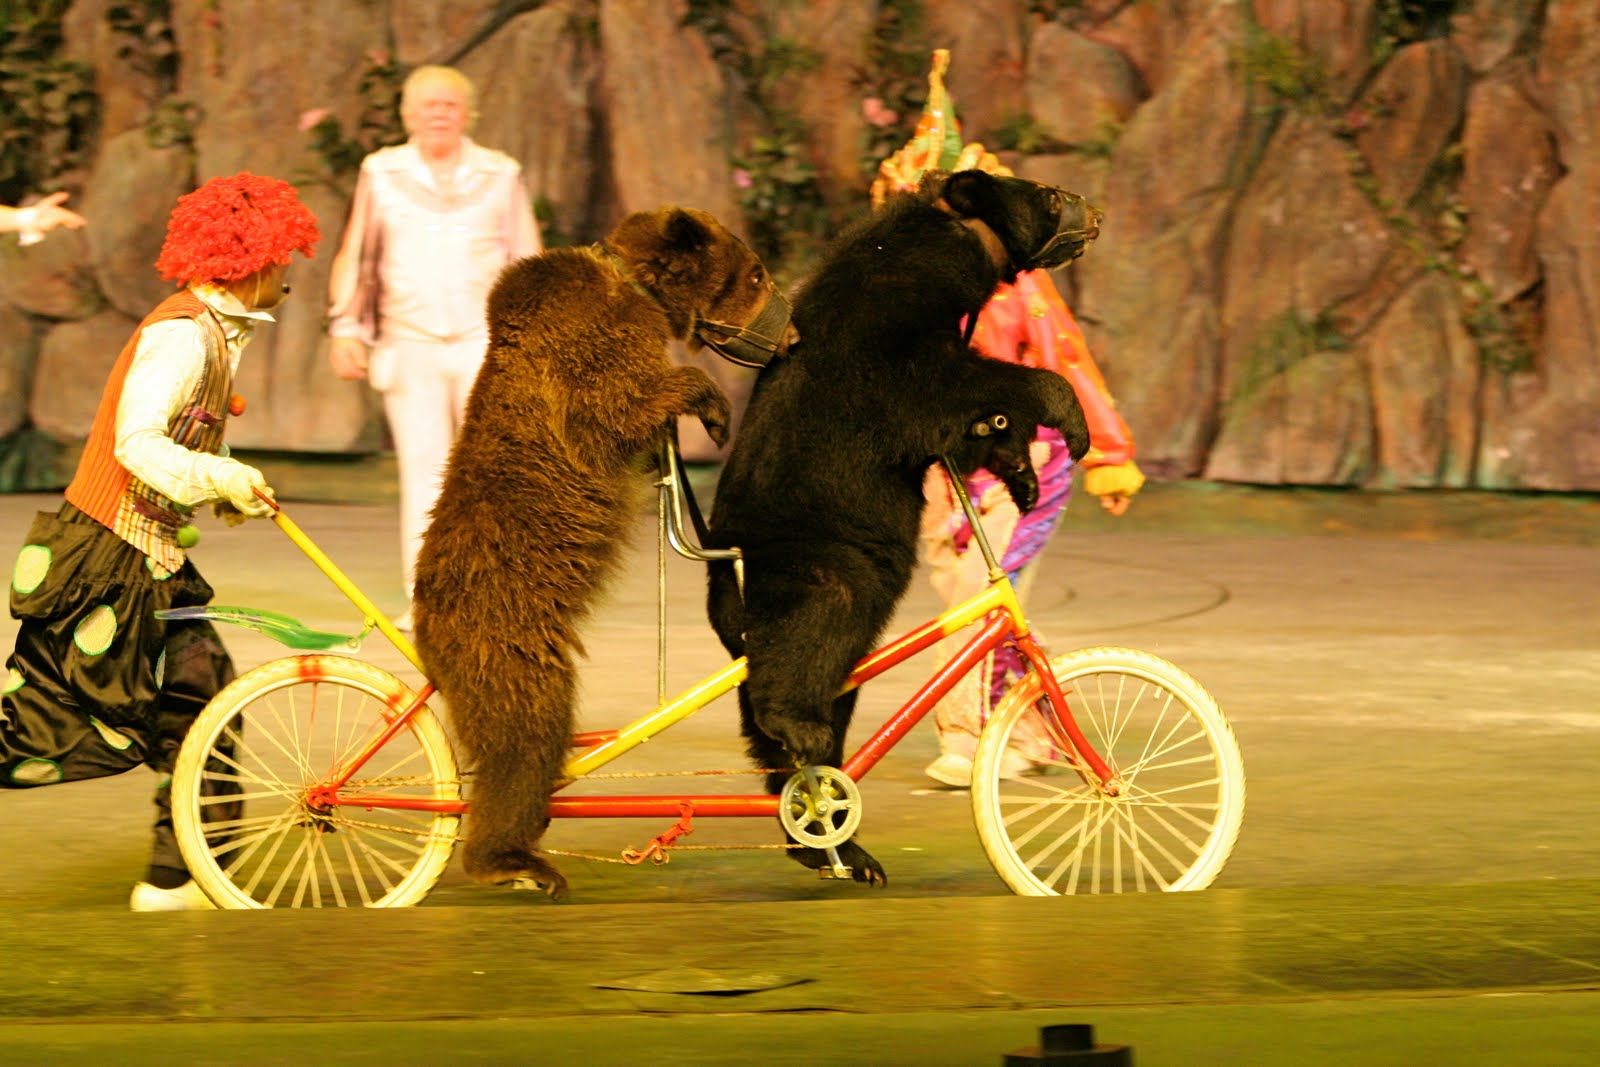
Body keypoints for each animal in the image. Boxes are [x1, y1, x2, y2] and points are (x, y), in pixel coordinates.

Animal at [413, 206, 792, 899]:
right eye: (755, 271)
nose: (792, 332)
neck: (639, 287)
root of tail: (427, 629)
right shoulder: (589, 345)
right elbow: (613, 407)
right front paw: (712, 408)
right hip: (506, 641)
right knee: (525, 732)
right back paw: (513, 860)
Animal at [705, 169, 1098, 886]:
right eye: (1051, 195)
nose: (1096, 209)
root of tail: (724, 580)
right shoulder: (891, 324)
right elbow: (940, 384)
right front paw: (1069, 419)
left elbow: (971, 423)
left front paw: (1021, 472)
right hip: (820, 558)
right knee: (818, 626)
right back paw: (799, 739)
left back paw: (830, 839)